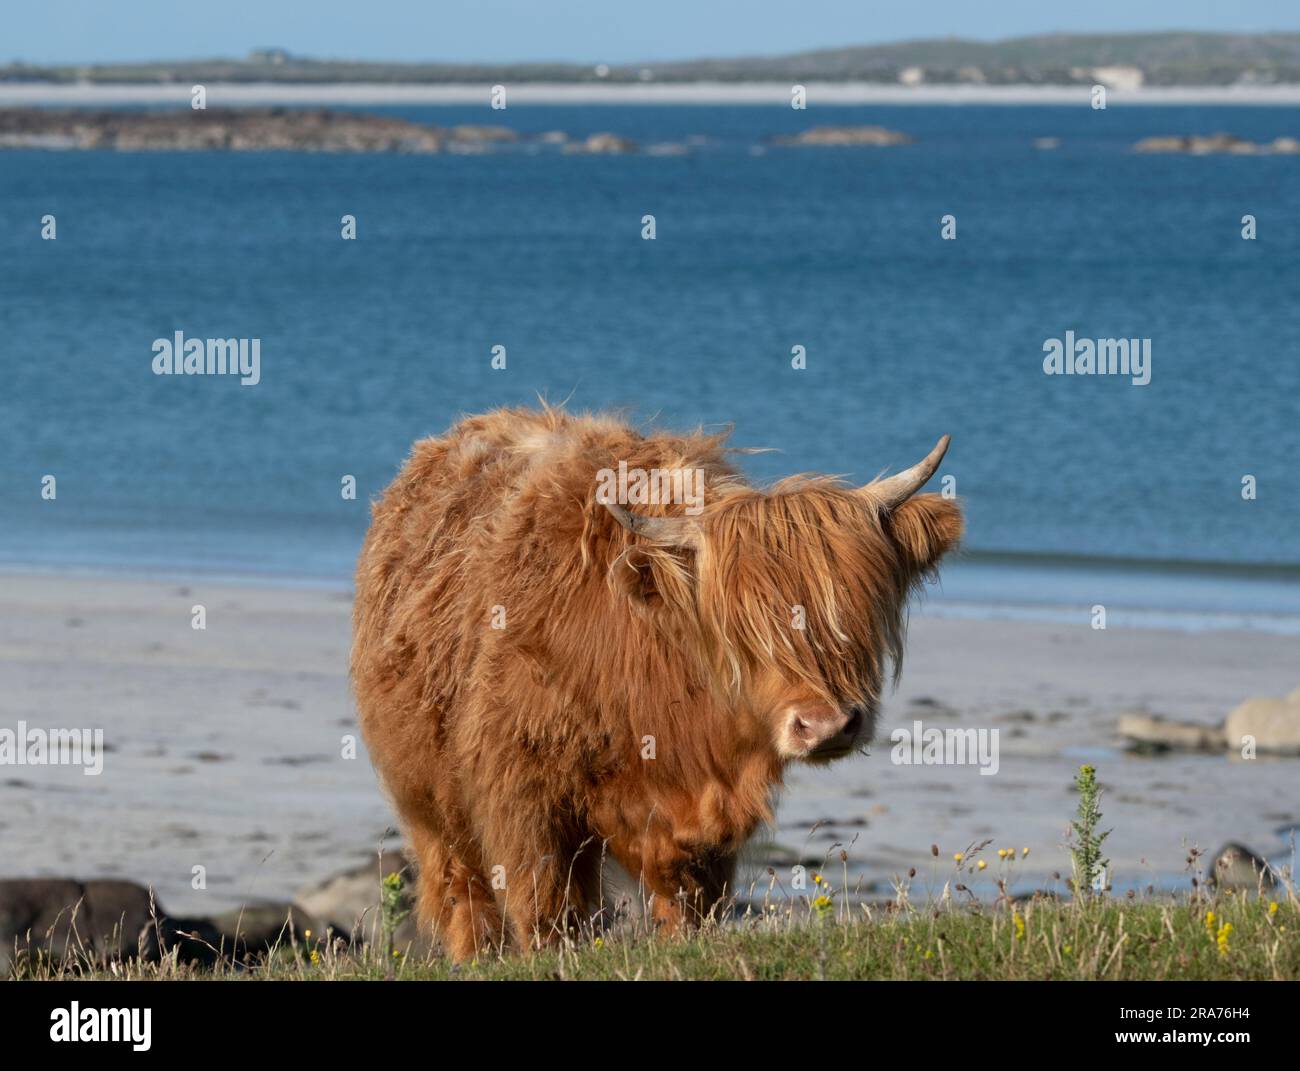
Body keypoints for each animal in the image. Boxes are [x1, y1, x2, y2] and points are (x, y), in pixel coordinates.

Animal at [352, 405, 961, 960]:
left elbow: (690, 905)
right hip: (429, 801)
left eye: (859, 605)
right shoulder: (521, 794)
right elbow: (544, 907)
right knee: (466, 895)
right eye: (742, 624)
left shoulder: (703, 825)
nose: (828, 725)